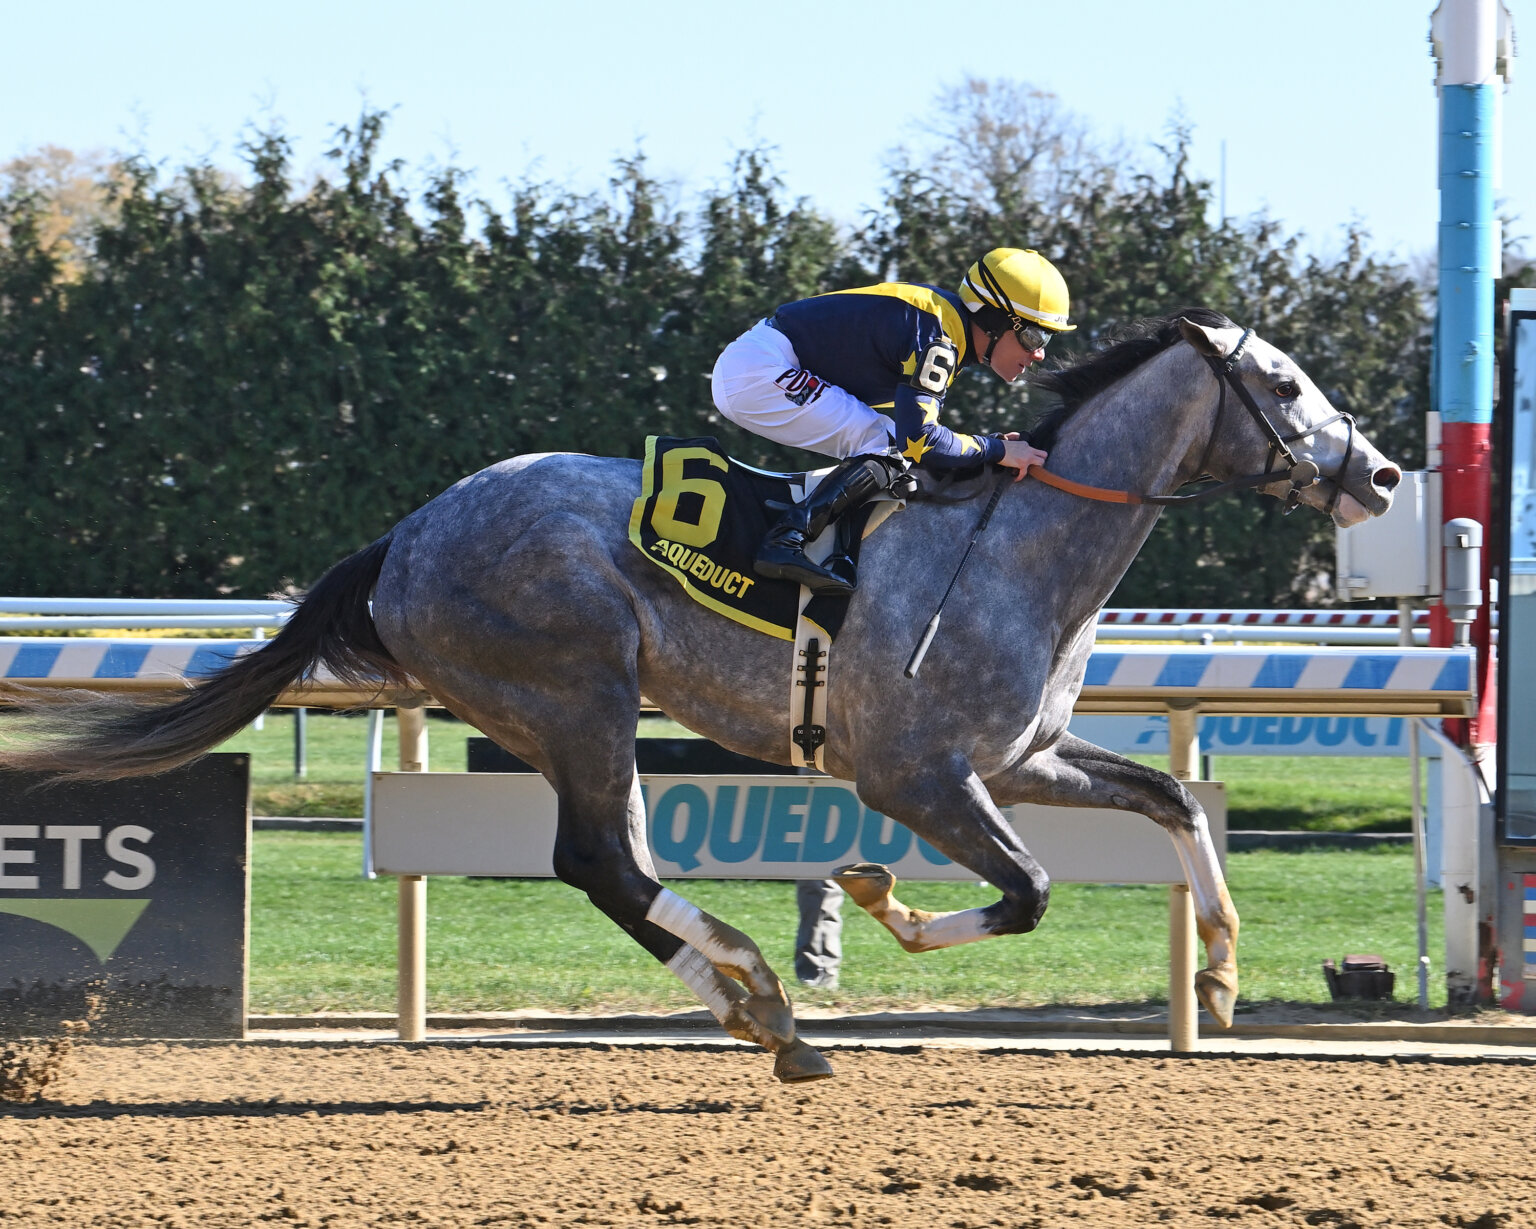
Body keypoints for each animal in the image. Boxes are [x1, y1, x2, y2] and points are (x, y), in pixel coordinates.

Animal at [0, 310, 1401, 1082]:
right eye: (1283, 385)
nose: (1382, 474)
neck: (1014, 544)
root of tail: (405, 536)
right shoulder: (918, 775)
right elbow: (1029, 891)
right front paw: (874, 897)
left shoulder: (1024, 758)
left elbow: (1173, 798)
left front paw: (1220, 975)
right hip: (577, 692)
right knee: (599, 859)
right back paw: (756, 992)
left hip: (562, 711)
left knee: (613, 863)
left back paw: (747, 998)